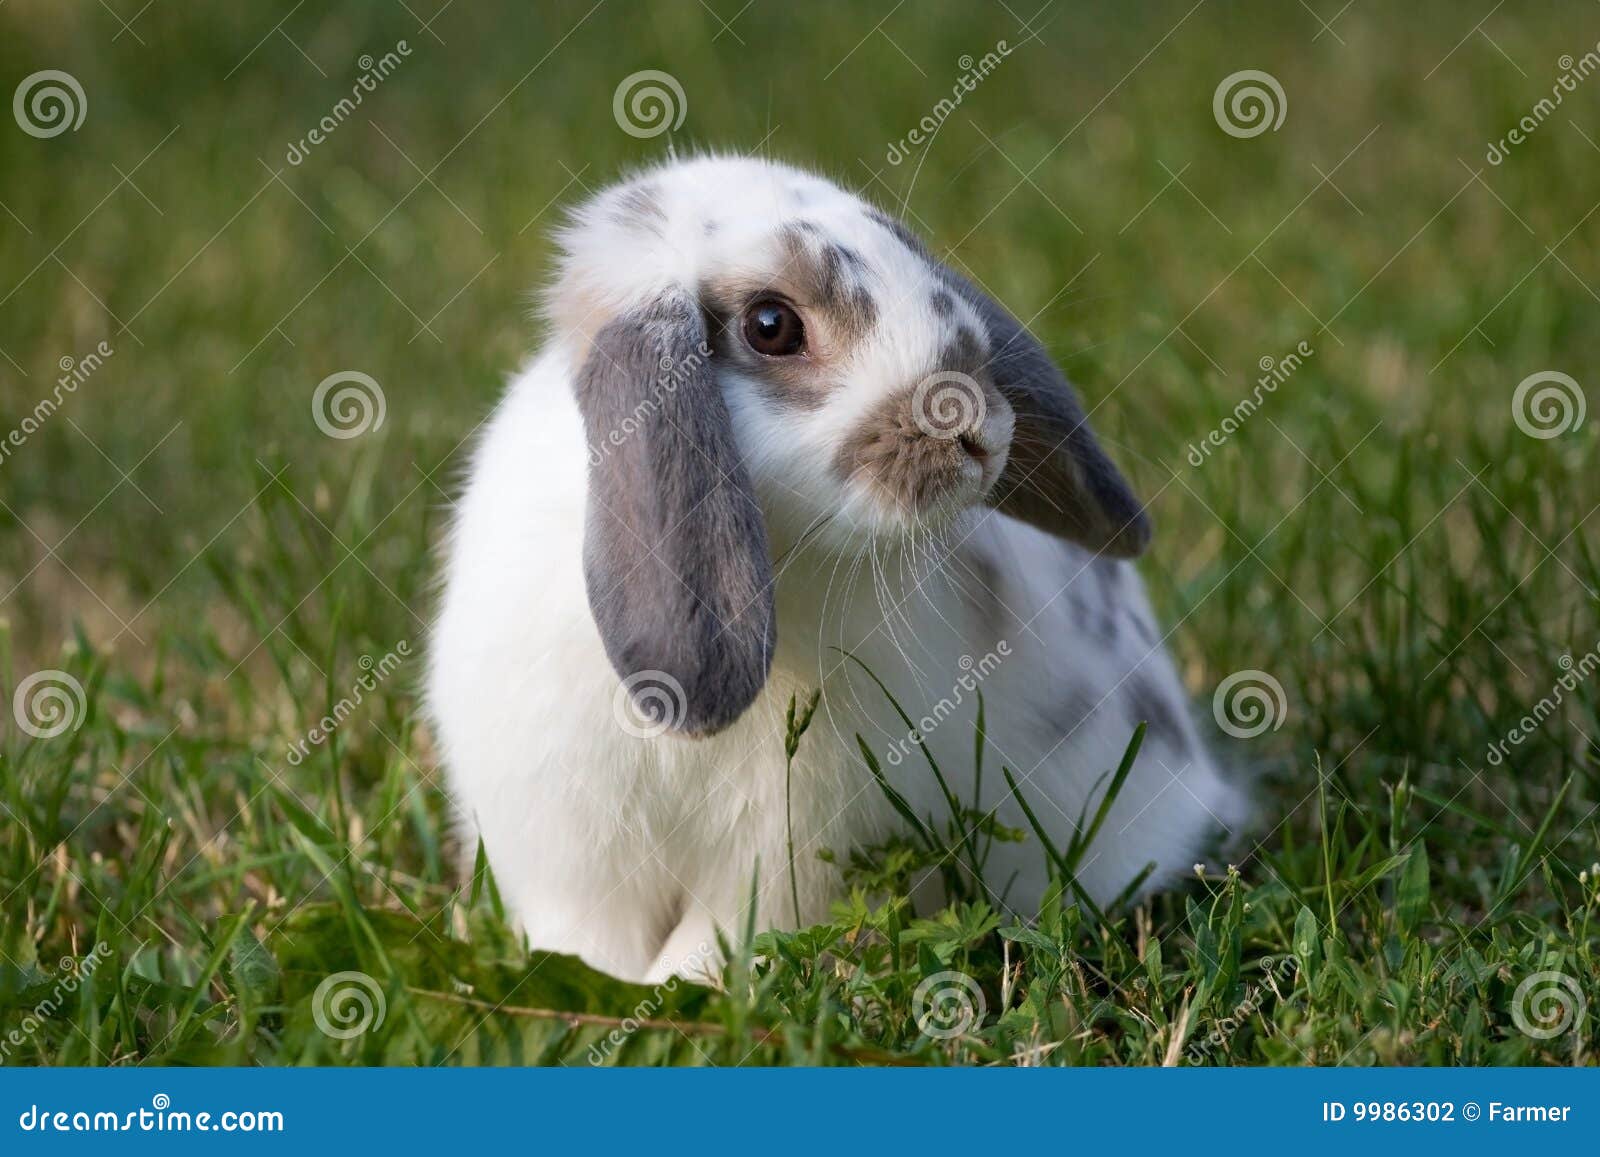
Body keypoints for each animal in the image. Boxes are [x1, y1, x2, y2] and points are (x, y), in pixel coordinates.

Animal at [427, 154, 1248, 983]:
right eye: (771, 325)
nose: (981, 428)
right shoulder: (564, 847)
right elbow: (586, 938)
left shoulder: (789, 849)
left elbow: (719, 937)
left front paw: (671, 990)